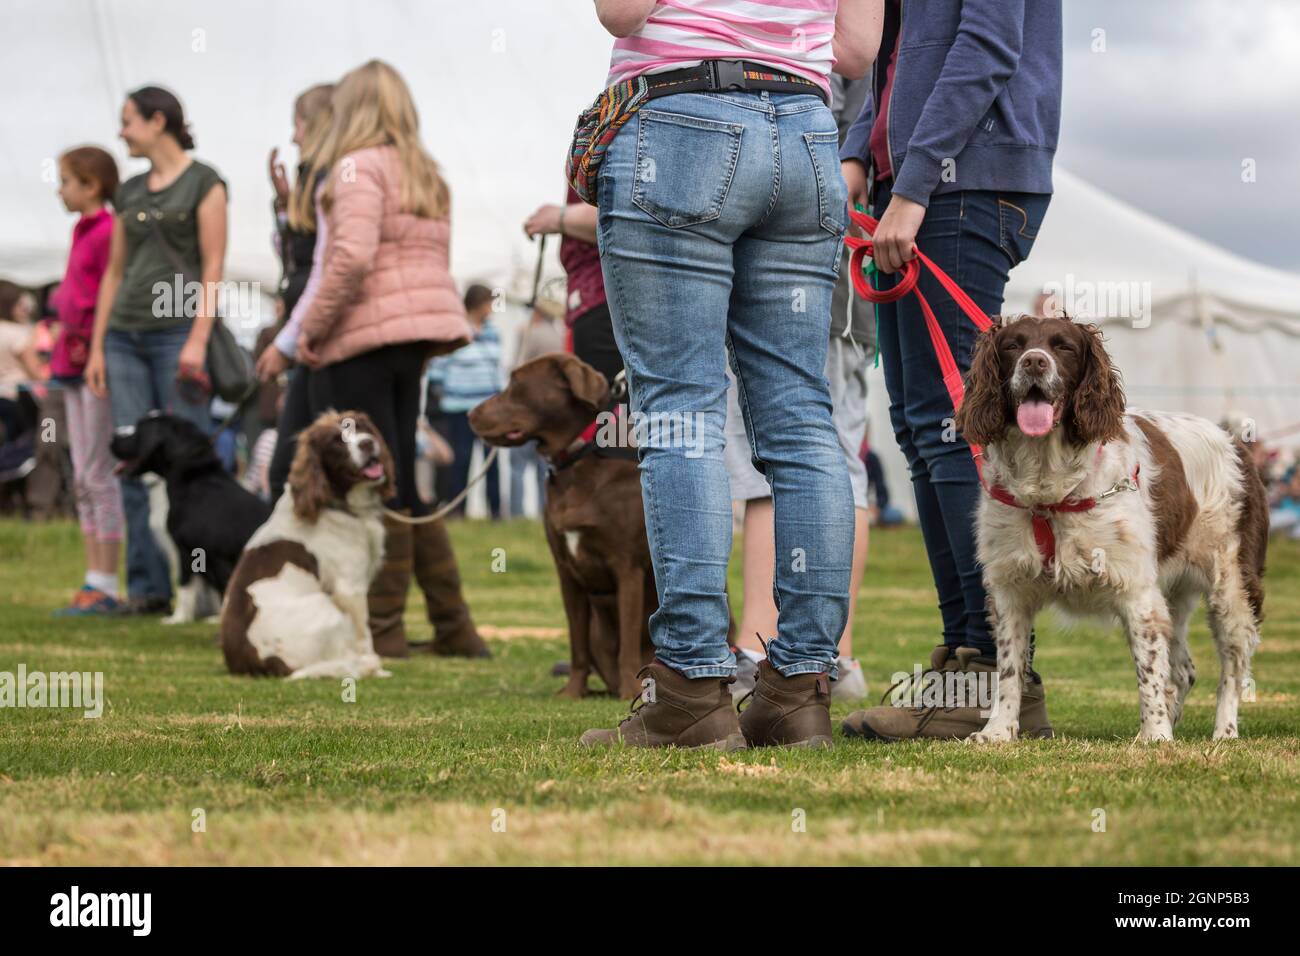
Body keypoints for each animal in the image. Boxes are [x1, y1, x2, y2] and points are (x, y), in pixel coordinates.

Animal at [111, 416, 271, 624]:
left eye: (138, 430)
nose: (112, 436)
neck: (194, 478)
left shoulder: (187, 551)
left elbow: (185, 586)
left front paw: (178, 619)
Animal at [223, 411, 395, 681]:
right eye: (337, 441)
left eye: (363, 427)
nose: (367, 444)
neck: (334, 501)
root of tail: (265, 661)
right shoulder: (350, 589)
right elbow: (364, 634)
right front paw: (377, 668)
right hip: (325, 607)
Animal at [961, 317, 1263, 743]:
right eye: (1012, 346)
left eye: (1064, 346)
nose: (1034, 362)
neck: (1049, 486)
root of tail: (1234, 440)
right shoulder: (1010, 591)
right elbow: (1008, 670)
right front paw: (998, 731)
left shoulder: (1137, 591)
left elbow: (1148, 672)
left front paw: (1155, 735)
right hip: (1175, 592)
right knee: (1184, 670)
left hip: (1232, 588)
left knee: (1232, 668)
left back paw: (1224, 732)